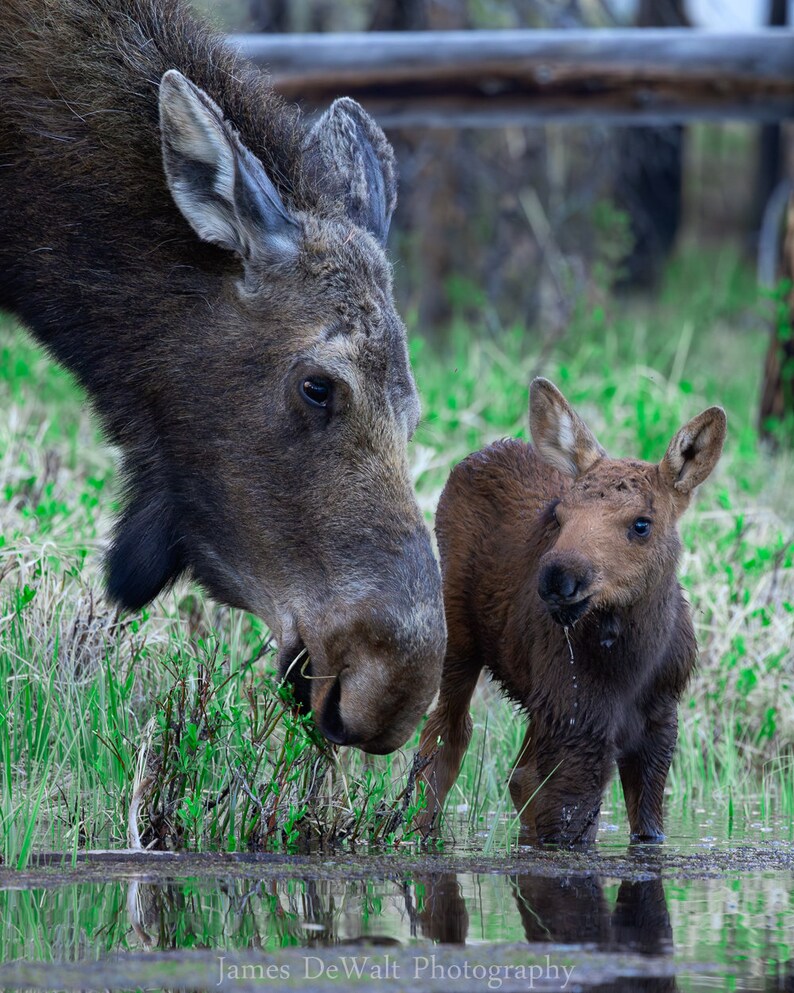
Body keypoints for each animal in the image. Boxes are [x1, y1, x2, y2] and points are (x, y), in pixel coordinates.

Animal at [416, 378, 726, 843]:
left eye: (641, 523)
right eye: (559, 515)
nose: (556, 578)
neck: (631, 665)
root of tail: (479, 454)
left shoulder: (656, 725)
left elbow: (647, 830)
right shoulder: (578, 725)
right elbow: (567, 825)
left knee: (515, 771)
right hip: (459, 638)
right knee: (446, 734)